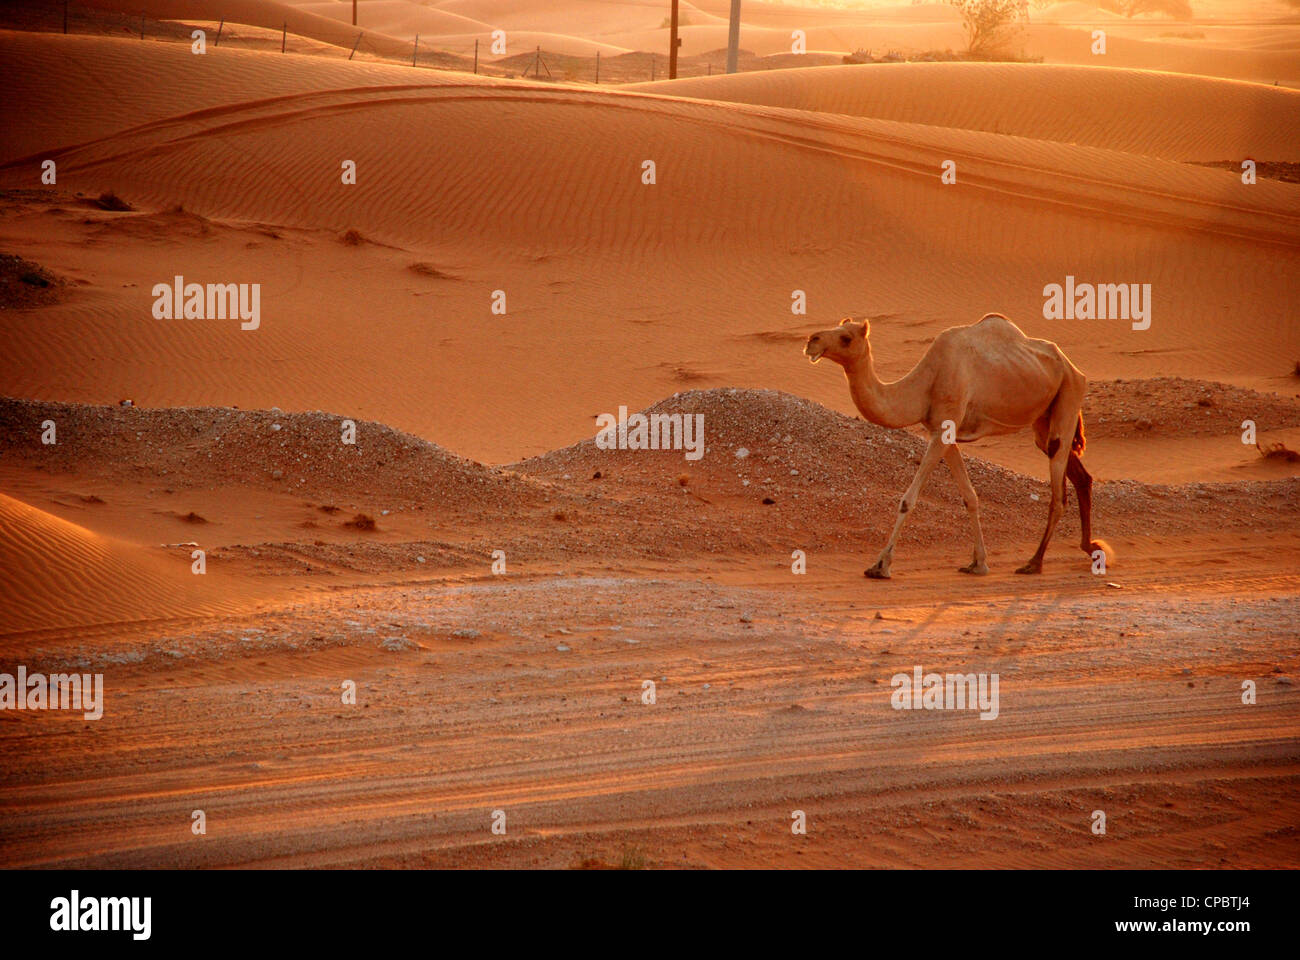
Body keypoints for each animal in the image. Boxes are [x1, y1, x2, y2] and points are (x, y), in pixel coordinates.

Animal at [804, 312, 1110, 578]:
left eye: (845, 337)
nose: (811, 340)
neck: (925, 384)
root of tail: (1072, 366)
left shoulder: (943, 427)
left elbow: (908, 499)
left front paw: (880, 566)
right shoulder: (943, 432)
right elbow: (969, 496)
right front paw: (978, 563)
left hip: (1069, 395)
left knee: (1058, 492)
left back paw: (1034, 563)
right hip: (1044, 416)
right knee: (1080, 476)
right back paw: (1092, 549)